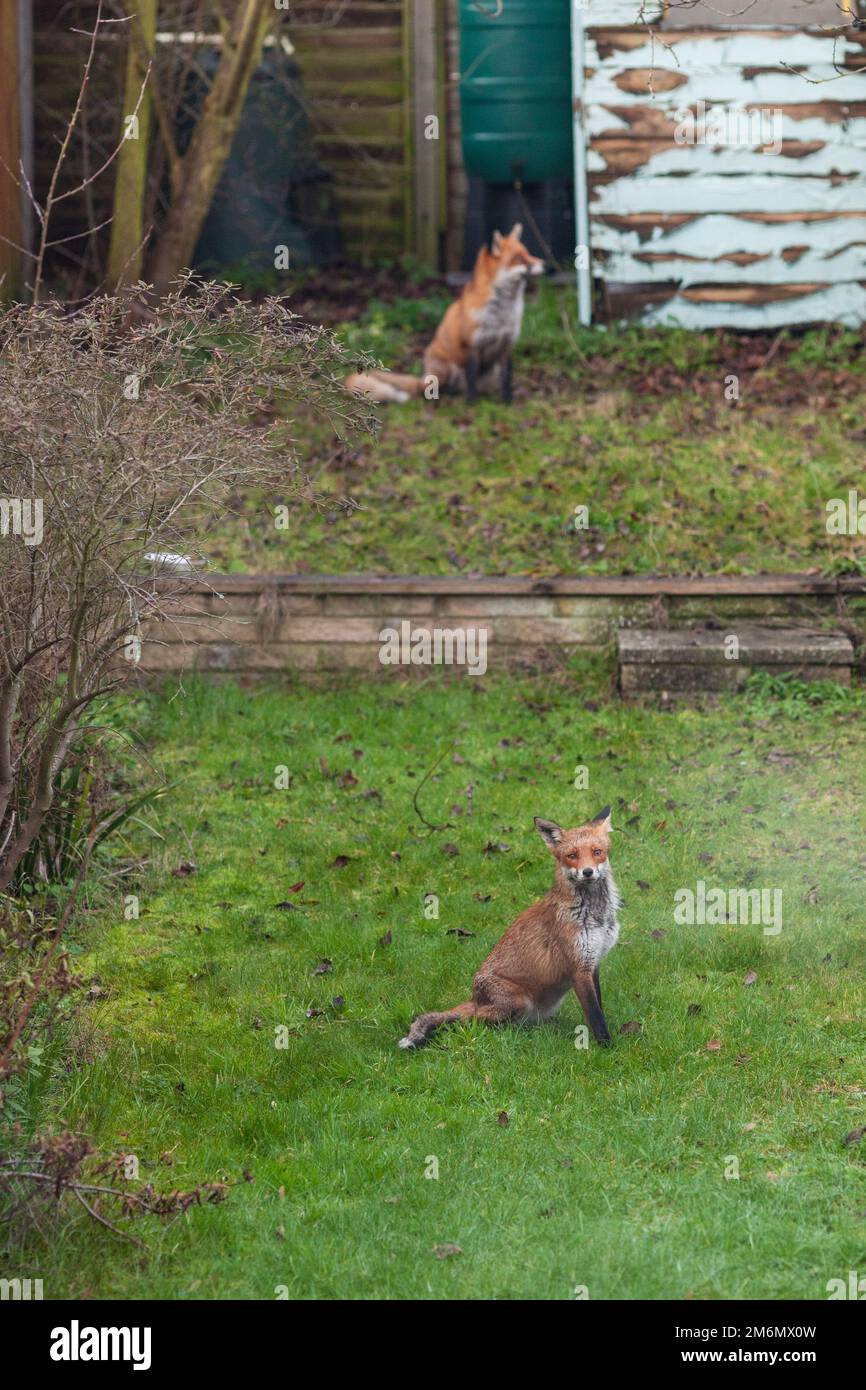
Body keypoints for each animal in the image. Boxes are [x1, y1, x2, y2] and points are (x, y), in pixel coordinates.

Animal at [345, 224, 544, 406]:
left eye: (528, 253)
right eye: (519, 258)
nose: (543, 263)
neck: (501, 314)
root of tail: (424, 376)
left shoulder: (507, 346)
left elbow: (507, 380)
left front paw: (507, 402)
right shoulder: (470, 345)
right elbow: (471, 380)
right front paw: (471, 404)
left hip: (489, 371)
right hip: (448, 368)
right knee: (436, 390)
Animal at [399, 807, 620, 1050]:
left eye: (597, 852)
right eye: (572, 856)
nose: (588, 872)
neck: (595, 914)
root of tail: (476, 998)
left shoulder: (593, 961)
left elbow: (598, 1006)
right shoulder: (579, 968)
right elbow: (595, 1014)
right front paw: (606, 1047)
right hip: (518, 1001)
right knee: (470, 1020)